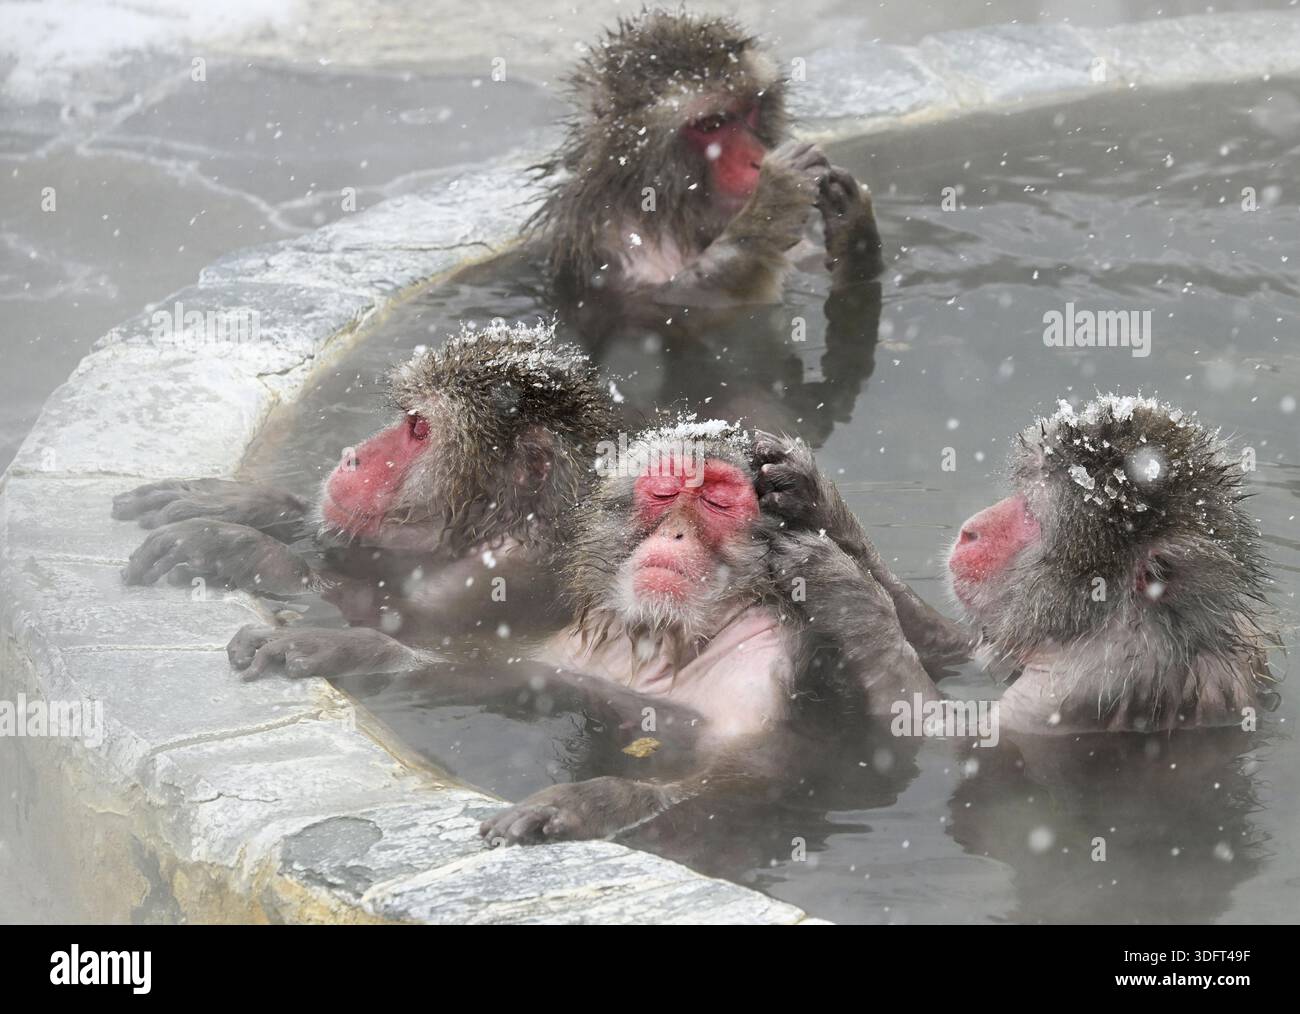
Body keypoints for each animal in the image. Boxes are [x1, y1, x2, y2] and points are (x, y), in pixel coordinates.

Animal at [112, 322, 619, 641]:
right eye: (409, 419)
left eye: (419, 429)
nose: (352, 457)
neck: (497, 526)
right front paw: (245, 505)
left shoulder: (504, 575)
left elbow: (402, 622)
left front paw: (239, 549)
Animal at [527, 9, 883, 319]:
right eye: (711, 125)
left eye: (749, 109)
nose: (757, 160)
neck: (675, 215)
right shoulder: (619, 247)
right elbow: (688, 300)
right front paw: (771, 206)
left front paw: (851, 222)